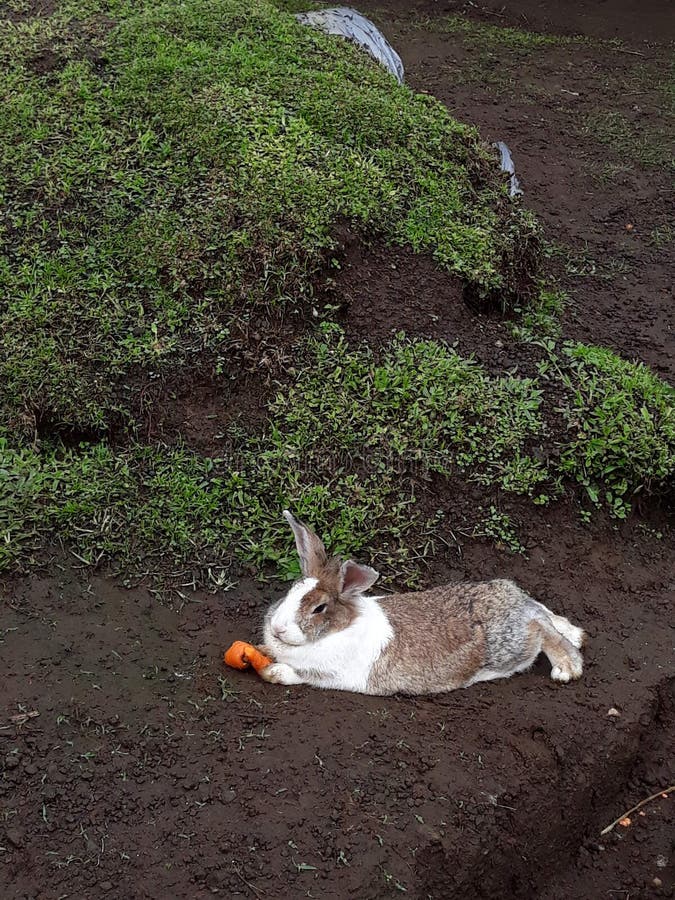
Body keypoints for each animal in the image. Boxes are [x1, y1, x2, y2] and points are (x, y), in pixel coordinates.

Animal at [258, 510, 585, 696]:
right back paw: (575, 633)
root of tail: (515, 605)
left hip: (512, 644)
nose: (277, 629)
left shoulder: (331, 674)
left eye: (319, 608)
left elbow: (297, 675)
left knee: (541, 629)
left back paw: (567, 666)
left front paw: (272, 672)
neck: (337, 629)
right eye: (292, 590)